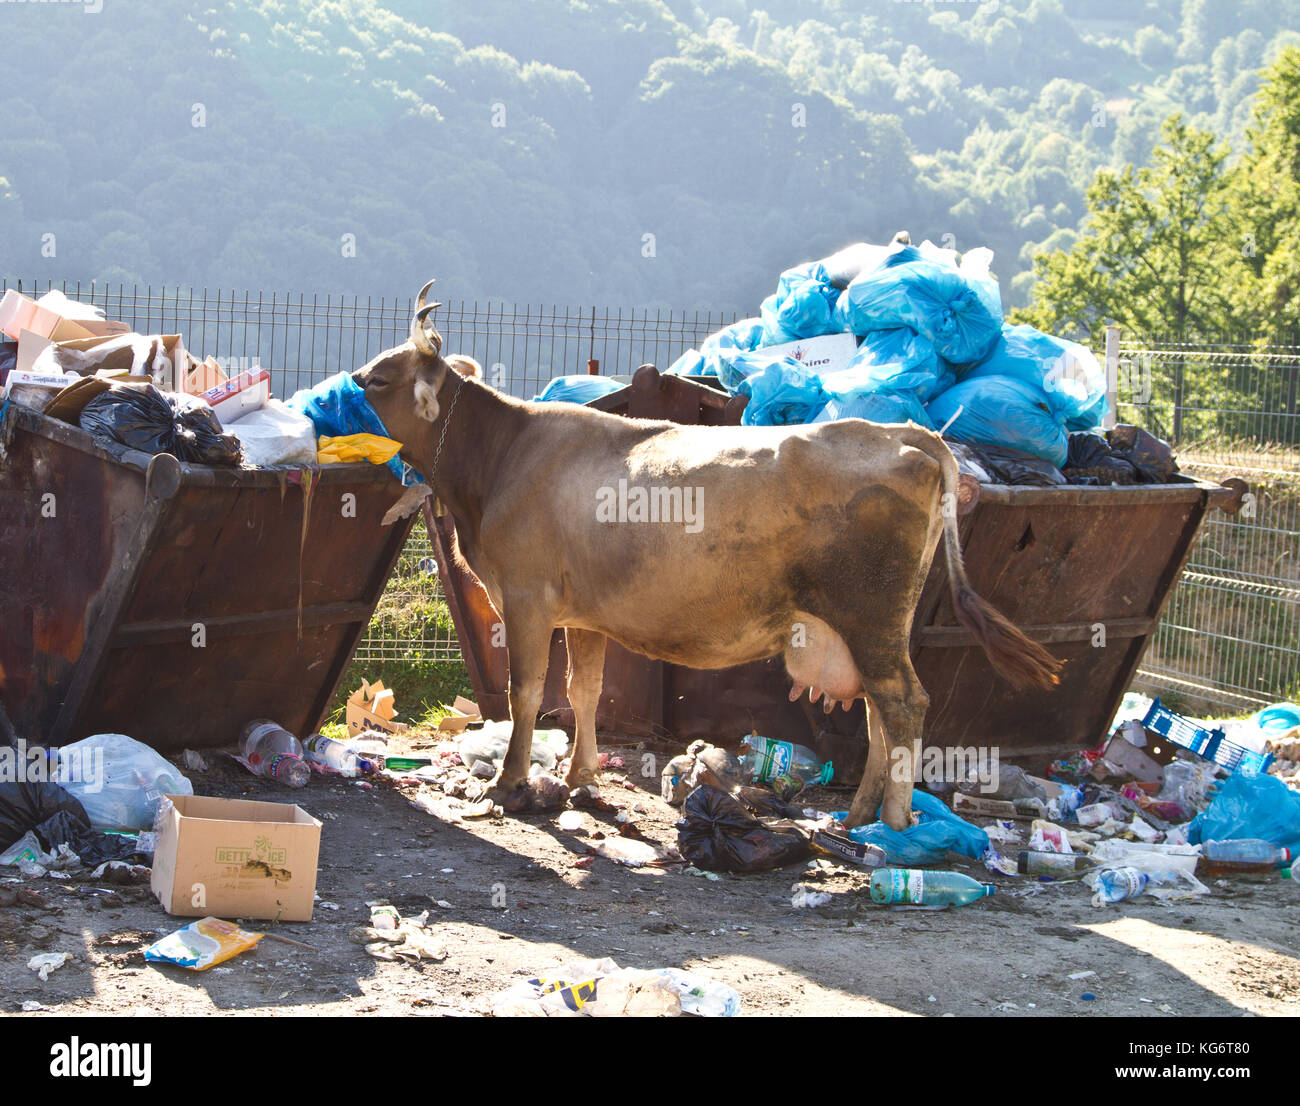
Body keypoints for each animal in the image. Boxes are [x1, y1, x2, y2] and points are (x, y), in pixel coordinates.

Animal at [355, 281, 1061, 830]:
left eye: (380, 378)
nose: (346, 387)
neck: (503, 456)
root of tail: (902, 434)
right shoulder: (583, 614)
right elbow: (585, 690)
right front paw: (582, 777)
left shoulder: (527, 601)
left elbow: (525, 692)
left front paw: (508, 784)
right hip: (867, 629)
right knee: (877, 710)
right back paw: (857, 815)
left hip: (872, 617)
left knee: (903, 704)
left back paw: (890, 823)